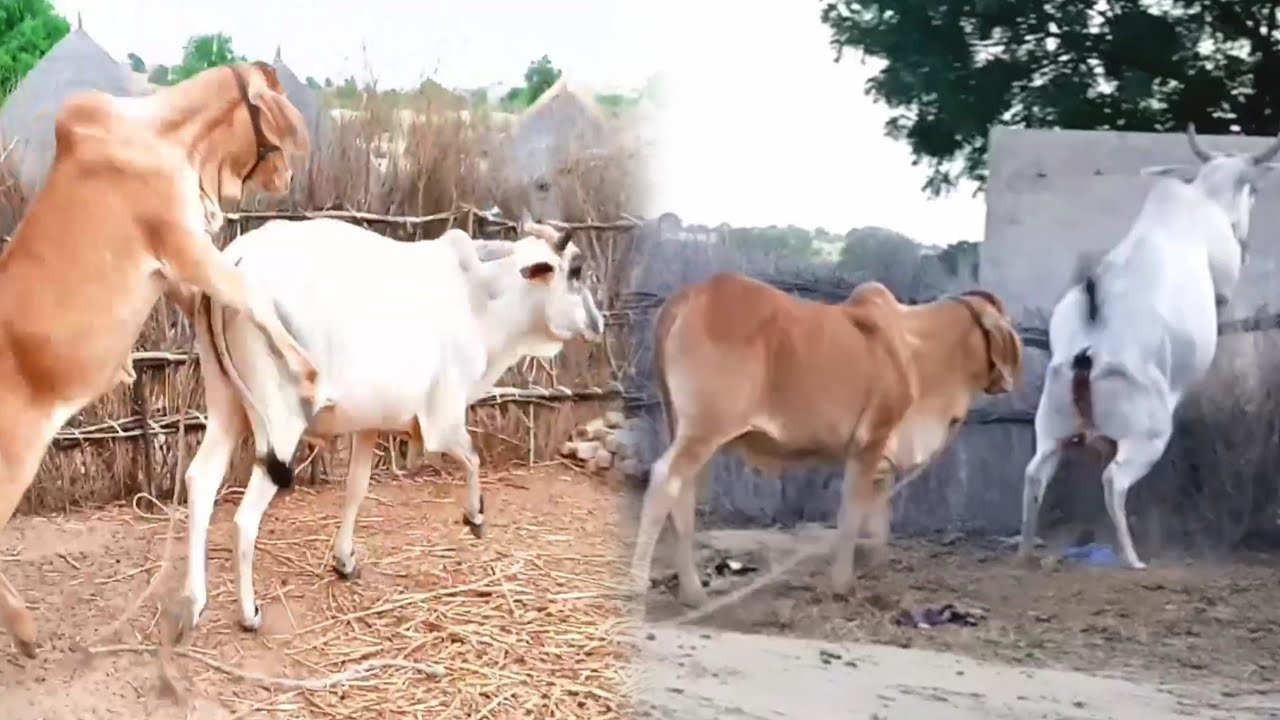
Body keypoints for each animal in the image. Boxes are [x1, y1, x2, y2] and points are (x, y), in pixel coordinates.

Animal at [0, 61, 317, 658]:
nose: (288, 175)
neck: (167, 133)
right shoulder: (185, 245)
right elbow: (250, 293)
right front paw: (308, 372)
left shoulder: (177, 276)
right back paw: (25, 630)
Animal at [177, 213, 605, 635]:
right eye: (575, 270)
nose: (598, 323)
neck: (479, 295)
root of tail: (238, 257)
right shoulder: (441, 422)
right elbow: (472, 458)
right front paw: (475, 516)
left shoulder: (369, 424)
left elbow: (356, 489)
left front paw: (344, 560)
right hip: (282, 423)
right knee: (245, 518)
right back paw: (249, 614)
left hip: (225, 408)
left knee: (201, 480)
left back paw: (194, 602)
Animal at [627, 274, 1023, 606]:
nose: (1009, 380)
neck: (919, 351)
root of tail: (692, 294)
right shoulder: (869, 442)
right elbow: (851, 515)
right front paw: (842, 584)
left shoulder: (883, 460)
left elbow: (878, 521)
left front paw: (873, 569)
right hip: (705, 429)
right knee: (664, 480)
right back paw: (636, 585)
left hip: (684, 428)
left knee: (682, 495)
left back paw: (693, 592)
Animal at [1019, 124, 1280, 570]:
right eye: (1255, 189)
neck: (1203, 198)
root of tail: (1087, 353)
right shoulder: (1223, 285)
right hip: (1148, 434)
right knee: (1114, 480)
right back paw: (1132, 558)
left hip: (1051, 429)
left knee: (1035, 475)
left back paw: (1023, 550)